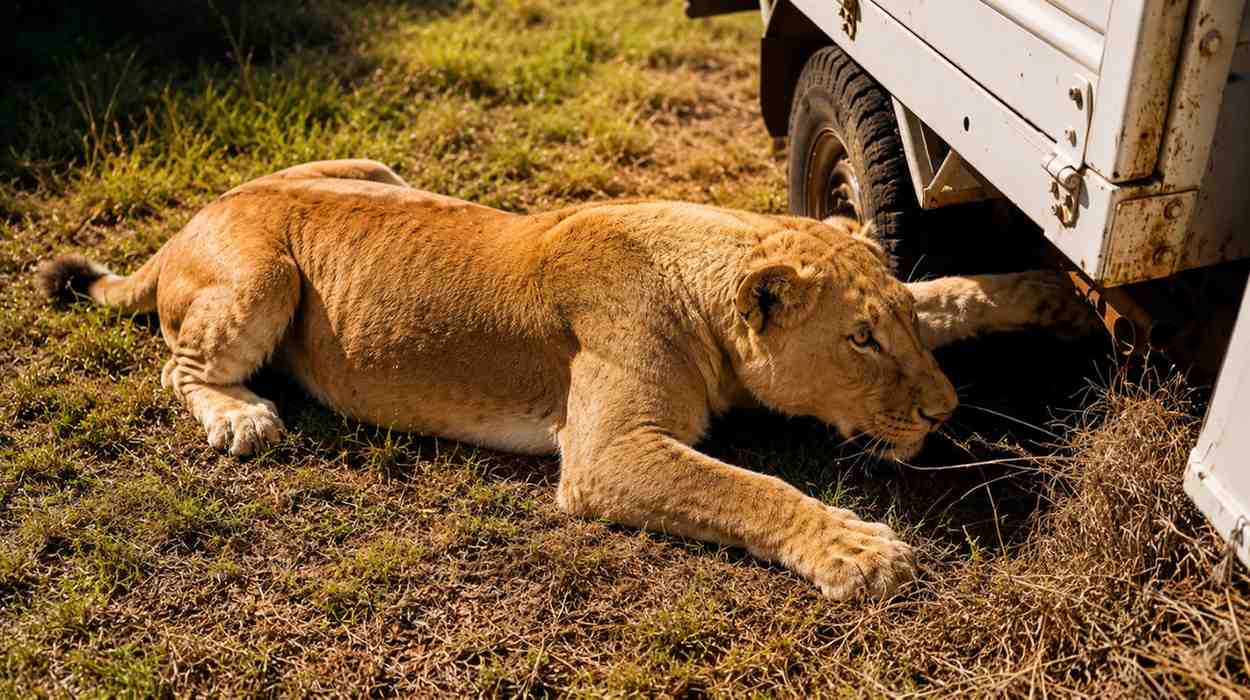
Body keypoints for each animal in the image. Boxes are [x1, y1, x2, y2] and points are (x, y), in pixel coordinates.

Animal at [36, 160, 1092, 599]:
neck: (700, 265)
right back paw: (240, 416)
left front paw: (1048, 290)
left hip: (374, 170)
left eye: (898, 327)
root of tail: (207, 204)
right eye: (861, 341)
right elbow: (749, 487)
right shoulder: (605, 454)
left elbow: (955, 289)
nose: (945, 411)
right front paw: (858, 550)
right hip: (264, 273)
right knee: (177, 366)